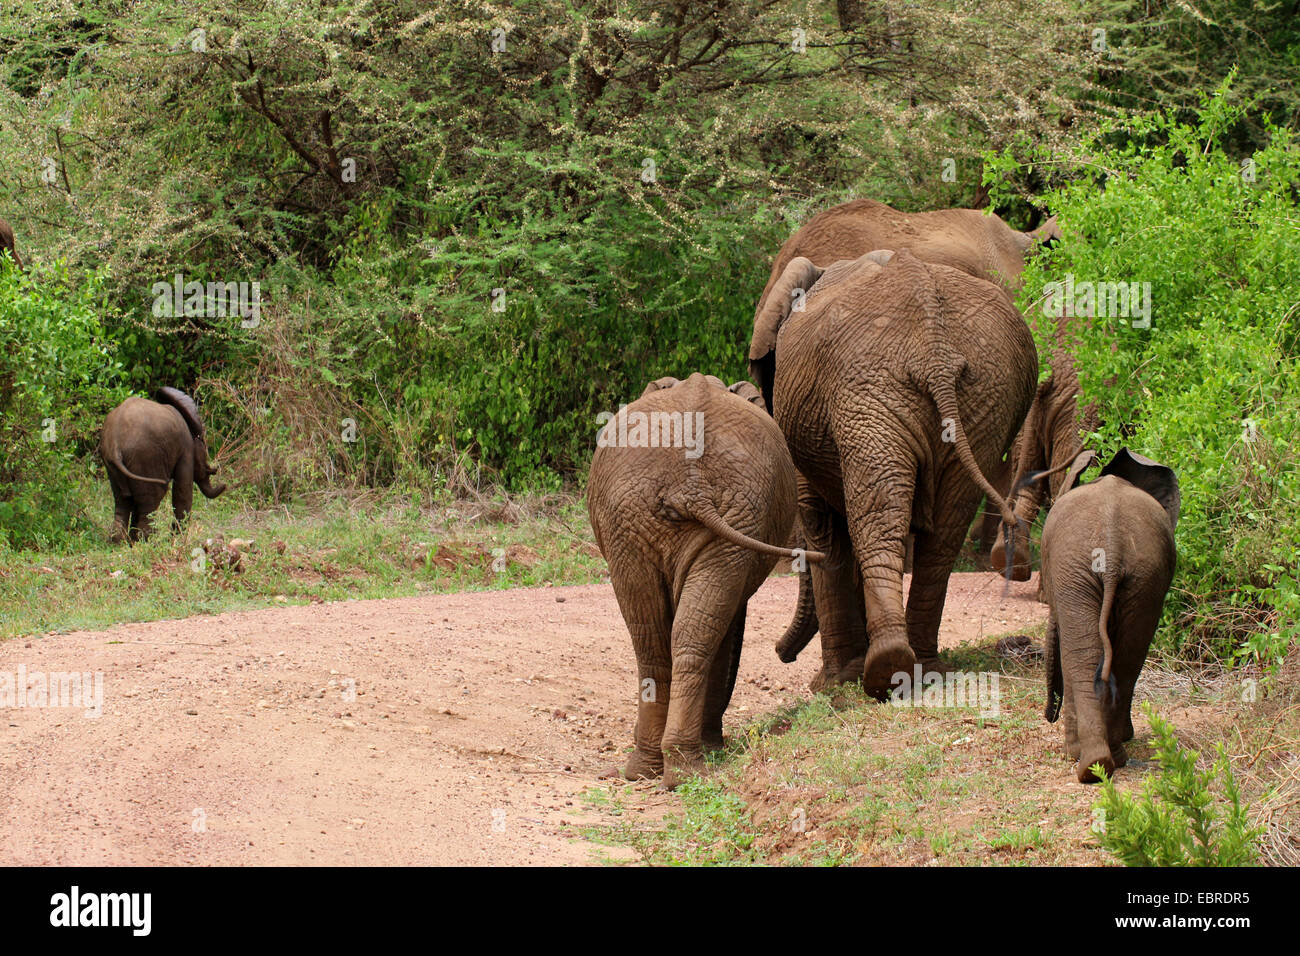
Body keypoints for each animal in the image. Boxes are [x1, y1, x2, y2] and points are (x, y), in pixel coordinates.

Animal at [99, 388, 227, 542]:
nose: (224, 484)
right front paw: (177, 539)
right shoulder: (186, 449)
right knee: (151, 500)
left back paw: (122, 542)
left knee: (122, 501)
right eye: (203, 443)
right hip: (144, 457)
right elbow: (182, 490)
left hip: (112, 465)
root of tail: (115, 444)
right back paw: (150, 542)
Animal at [587, 372, 823, 789]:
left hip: (689, 517)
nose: (783, 653)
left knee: (667, 637)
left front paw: (711, 748)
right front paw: (713, 747)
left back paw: (669, 768)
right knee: (671, 636)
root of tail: (690, 482)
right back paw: (670, 767)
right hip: (645, 517)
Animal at [1036, 448, 1179, 783]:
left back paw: (1087, 761)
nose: (1049, 715)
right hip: (1140, 575)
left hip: (1078, 570)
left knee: (1083, 655)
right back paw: (1105, 760)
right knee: (1126, 656)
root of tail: (1112, 552)